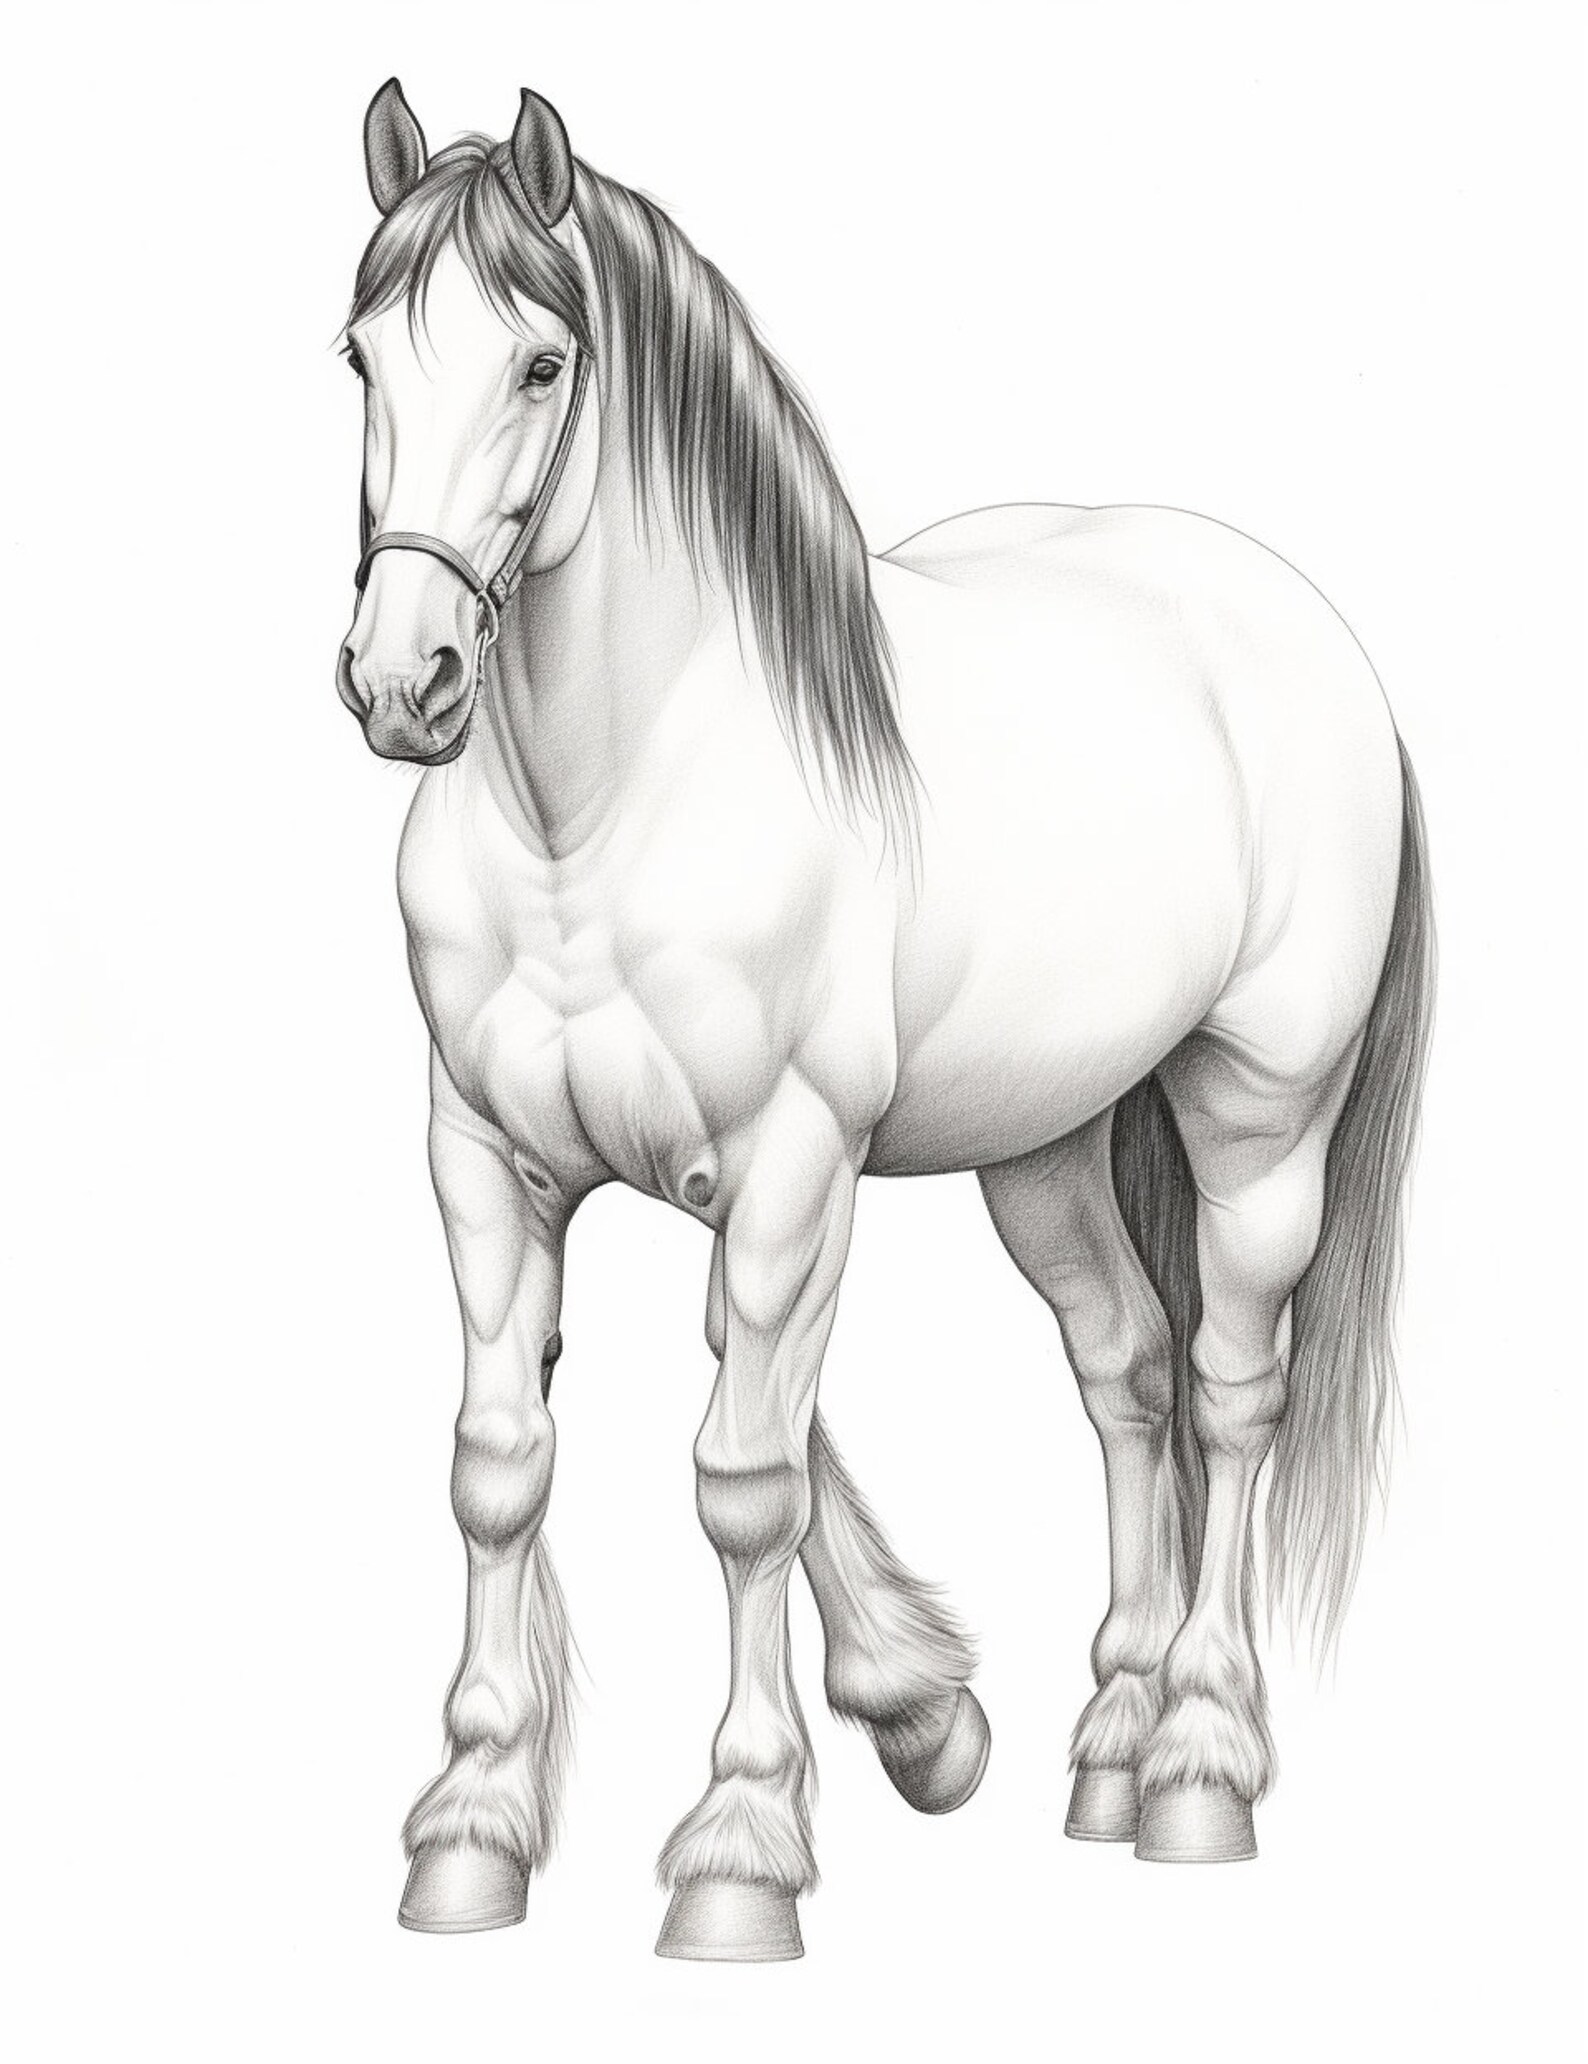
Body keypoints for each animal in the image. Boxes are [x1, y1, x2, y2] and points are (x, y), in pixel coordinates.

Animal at [335, 80, 1433, 1963]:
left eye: (541, 364)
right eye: (358, 357)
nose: (403, 683)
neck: (600, 808)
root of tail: (1296, 630)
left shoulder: (790, 1169)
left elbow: (743, 1480)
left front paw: (741, 1848)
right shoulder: (489, 1163)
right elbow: (505, 1459)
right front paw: (473, 1826)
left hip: (1260, 1119)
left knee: (1228, 1391)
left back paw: (1200, 1765)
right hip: (1046, 1147)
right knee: (1126, 1371)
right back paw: (1107, 1742)